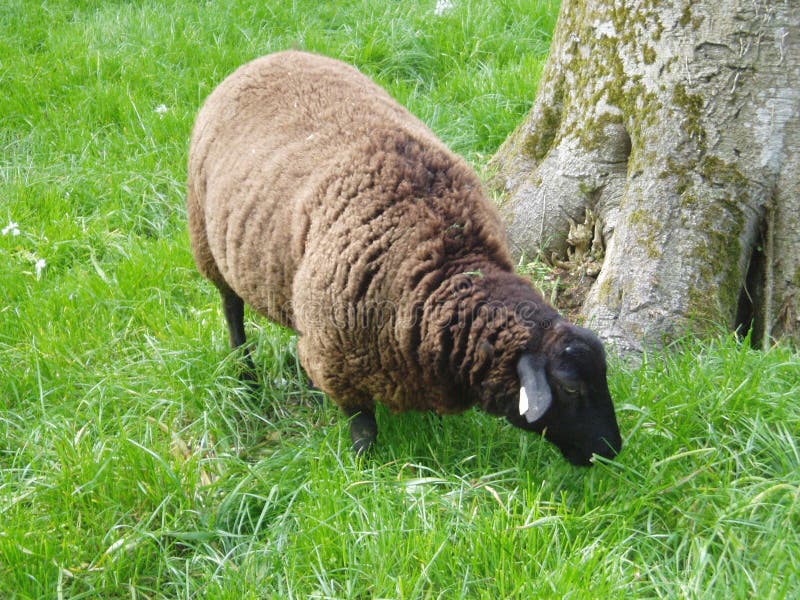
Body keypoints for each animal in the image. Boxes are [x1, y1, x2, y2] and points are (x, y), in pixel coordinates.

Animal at [187, 51, 622, 466]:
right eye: (570, 387)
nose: (612, 450)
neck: (442, 268)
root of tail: (266, 58)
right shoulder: (339, 362)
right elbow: (363, 428)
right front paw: (363, 470)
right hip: (207, 244)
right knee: (232, 310)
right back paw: (245, 375)